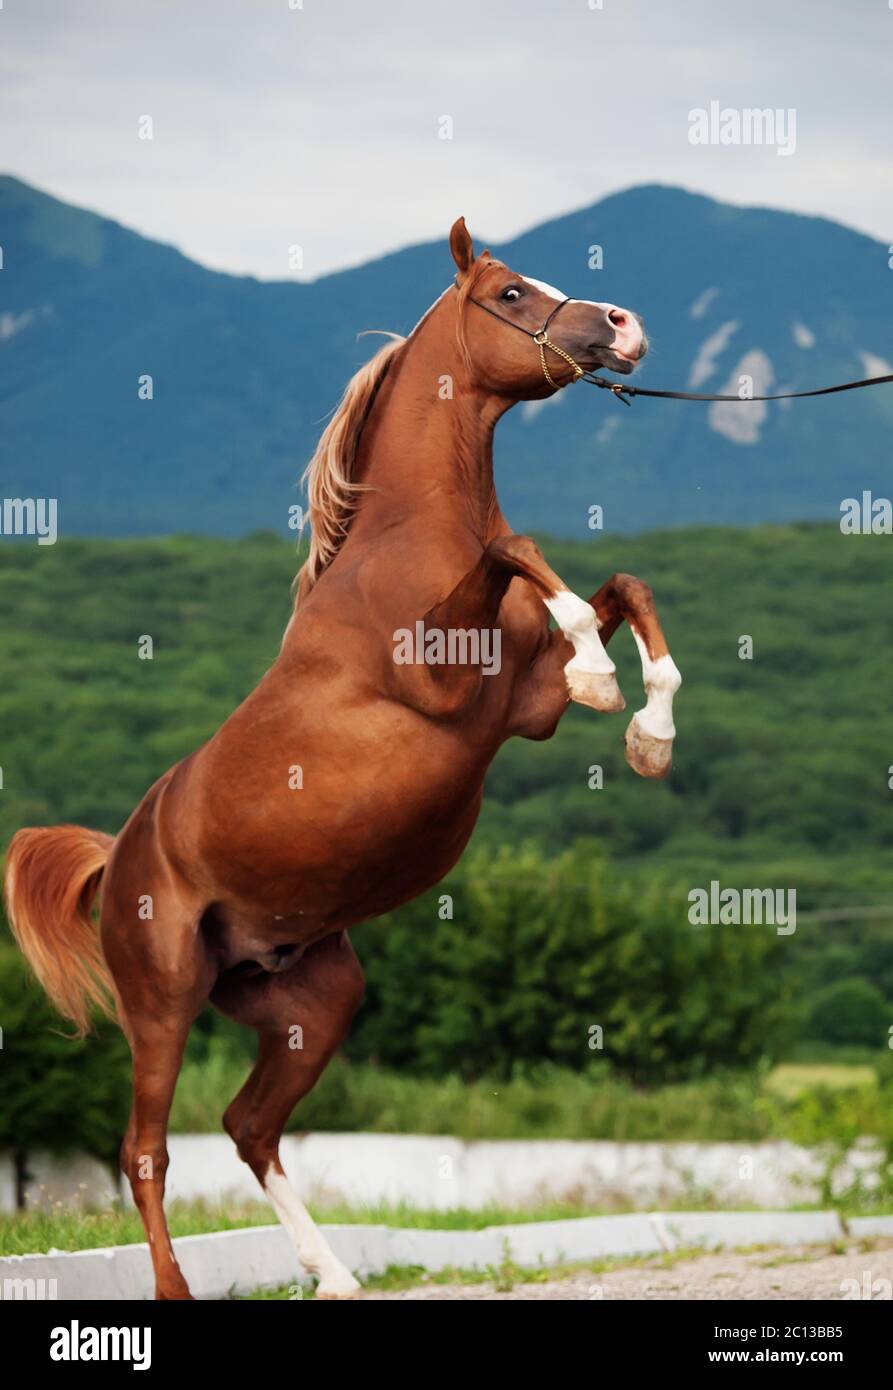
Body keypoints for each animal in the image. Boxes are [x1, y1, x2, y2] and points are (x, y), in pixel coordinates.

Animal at [4, 217, 681, 1300]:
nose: (623, 326)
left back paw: (334, 1274)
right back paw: (179, 1289)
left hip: (309, 1003)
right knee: (146, 1149)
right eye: (509, 292)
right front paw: (604, 680)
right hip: (161, 1005)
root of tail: (118, 860)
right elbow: (518, 550)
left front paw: (646, 729)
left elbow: (620, 582)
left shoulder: (518, 709)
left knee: (247, 1126)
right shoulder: (441, 682)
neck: (400, 544)